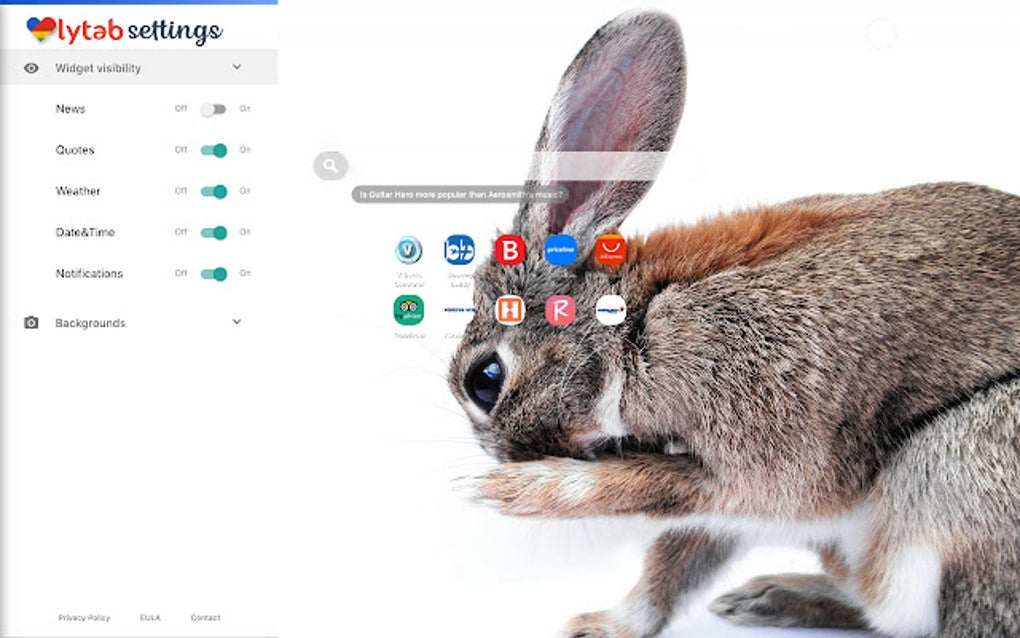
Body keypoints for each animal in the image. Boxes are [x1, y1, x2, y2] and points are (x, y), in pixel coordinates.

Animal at [448, 10, 1020, 638]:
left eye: (485, 379)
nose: (502, 456)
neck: (631, 324)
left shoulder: (758, 464)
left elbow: (651, 491)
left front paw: (513, 491)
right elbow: (674, 561)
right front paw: (601, 627)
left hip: (953, 464)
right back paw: (767, 597)